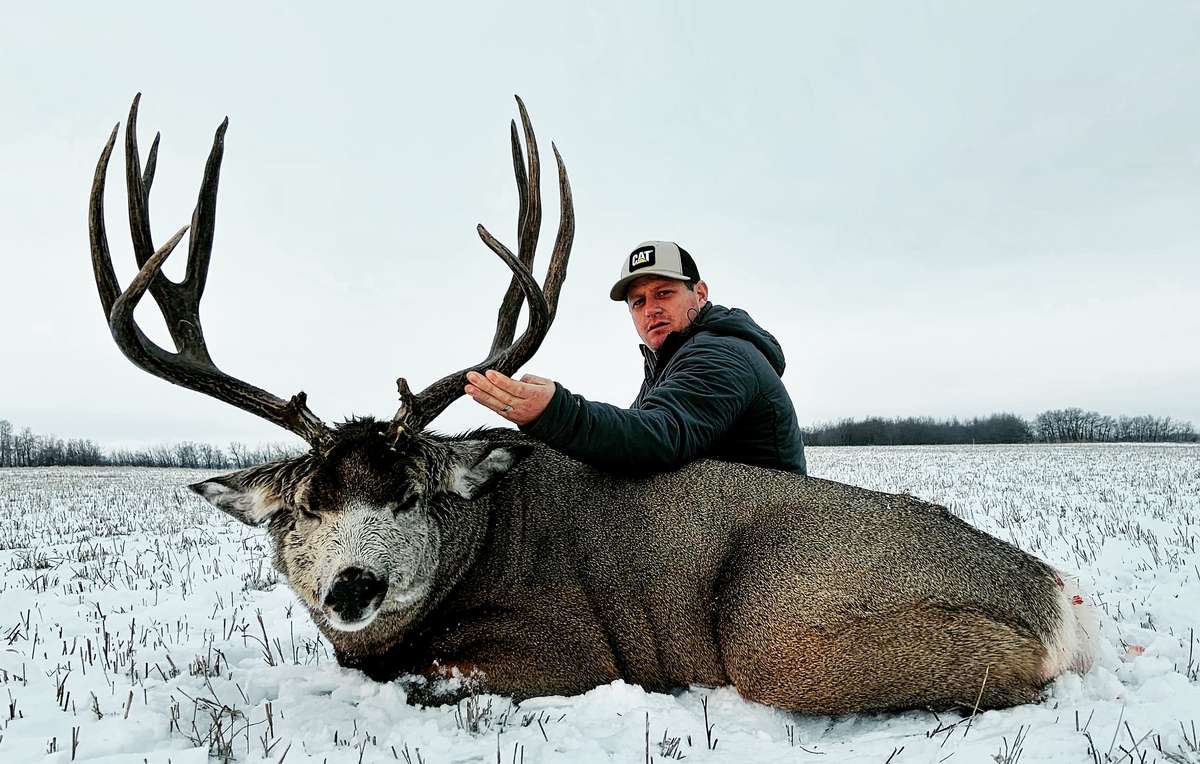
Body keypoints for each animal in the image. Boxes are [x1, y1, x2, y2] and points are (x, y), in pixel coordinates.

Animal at [88, 94, 1096, 715]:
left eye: (410, 494)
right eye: (301, 506)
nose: (352, 587)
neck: (477, 552)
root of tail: (1058, 598)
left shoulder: (566, 654)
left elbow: (424, 680)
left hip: (787, 634)